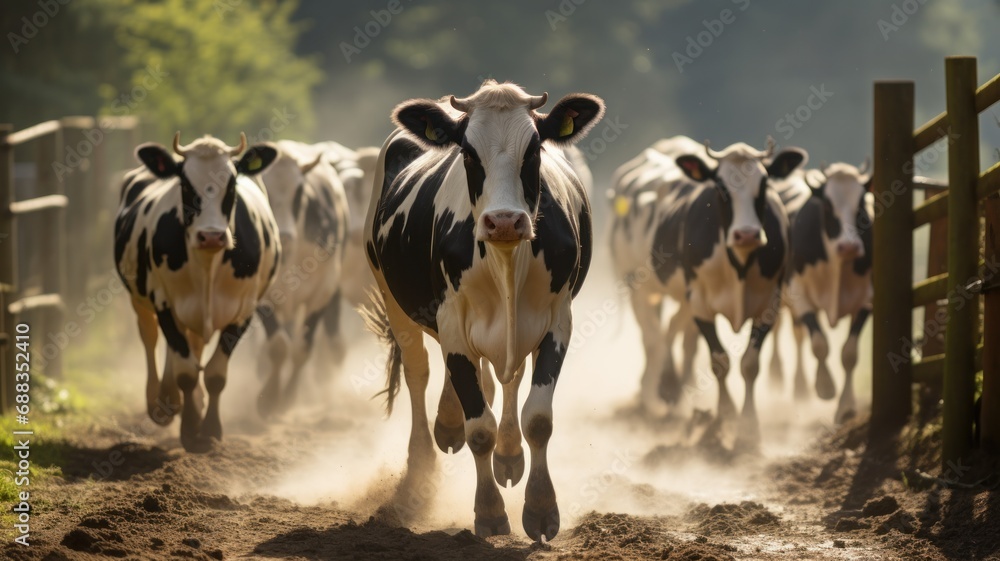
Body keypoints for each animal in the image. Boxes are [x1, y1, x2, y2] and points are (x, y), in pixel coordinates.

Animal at [114, 133, 280, 453]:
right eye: (185, 185)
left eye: (232, 184)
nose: (211, 235)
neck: (207, 264)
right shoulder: (164, 302)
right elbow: (186, 372)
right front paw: (190, 430)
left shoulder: (244, 311)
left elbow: (214, 374)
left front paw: (211, 429)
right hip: (140, 299)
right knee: (151, 338)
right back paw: (161, 401)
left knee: (195, 344)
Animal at [253, 139, 348, 416]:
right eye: (263, 189)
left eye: (299, 193)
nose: (284, 235)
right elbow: (279, 346)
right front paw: (270, 399)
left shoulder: (322, 293)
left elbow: (302, 349)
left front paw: (288, 398)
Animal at [364, 80, 604, 541]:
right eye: (469, 153)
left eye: (534, 149)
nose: (505, 220)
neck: (506, 260)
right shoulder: (452, 323)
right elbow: (478, 428)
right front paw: (490, 513)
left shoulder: (557, 321)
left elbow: (537, 418)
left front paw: (541, 508)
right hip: (392, 293)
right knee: (419, 372)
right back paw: (422, 465)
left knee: (505, 379)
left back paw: (505, 453)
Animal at [610, 136, 806, 448]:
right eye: (721, 187)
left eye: (764, 183)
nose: (747, 233)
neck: (740, 263)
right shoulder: (701, 306)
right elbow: (720, 361)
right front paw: (724, 419)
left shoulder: (768, 306)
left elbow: (750, 364)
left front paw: (749, 428)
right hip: (635, 284)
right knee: (652, 338)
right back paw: (652, 400)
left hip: (681, 299)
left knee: (676, 336)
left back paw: (673, 393)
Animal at [769, 160, 873, 423]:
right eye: (827, 205)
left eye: (861, 204)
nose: (849, 246)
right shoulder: (799, 294)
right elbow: (819, 343)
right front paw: (825, 386)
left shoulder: (868, 300)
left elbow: (849, 353)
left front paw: (846, 407)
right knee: (789, 332)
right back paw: (786, 379)